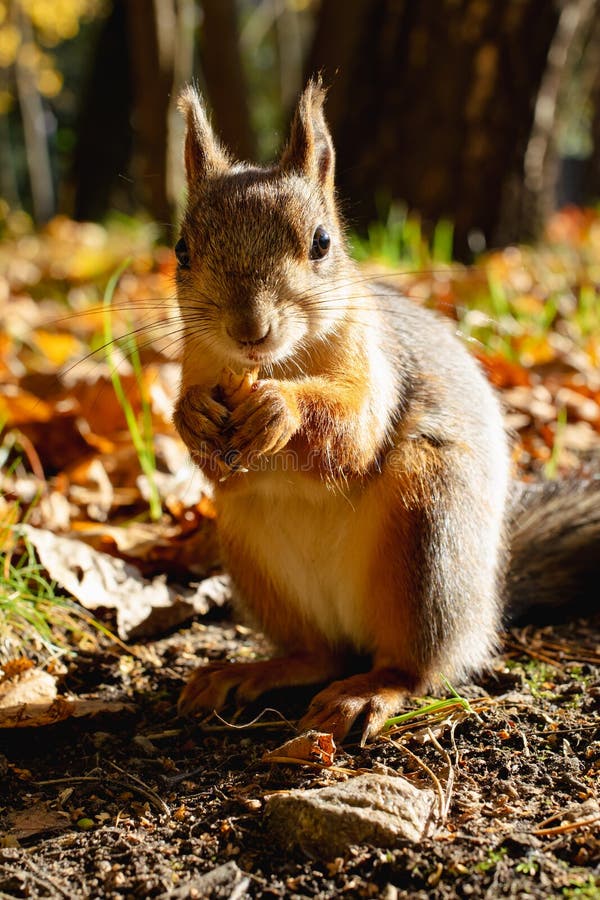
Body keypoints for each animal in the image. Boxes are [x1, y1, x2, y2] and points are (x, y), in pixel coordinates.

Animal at [173, 79, 600, 743]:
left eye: (322, 243)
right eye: (182, 250)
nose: (249, 331)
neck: (281, 362)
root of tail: (486, 605)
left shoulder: (378, 368)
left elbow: (355, 433)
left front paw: (280, 409)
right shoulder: (202, 368)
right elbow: (217, 462)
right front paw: (191, 415)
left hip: (428, 535)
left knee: (415, 667)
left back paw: (367, 692)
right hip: (252, 556)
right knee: (320, 655)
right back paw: (254, 671)